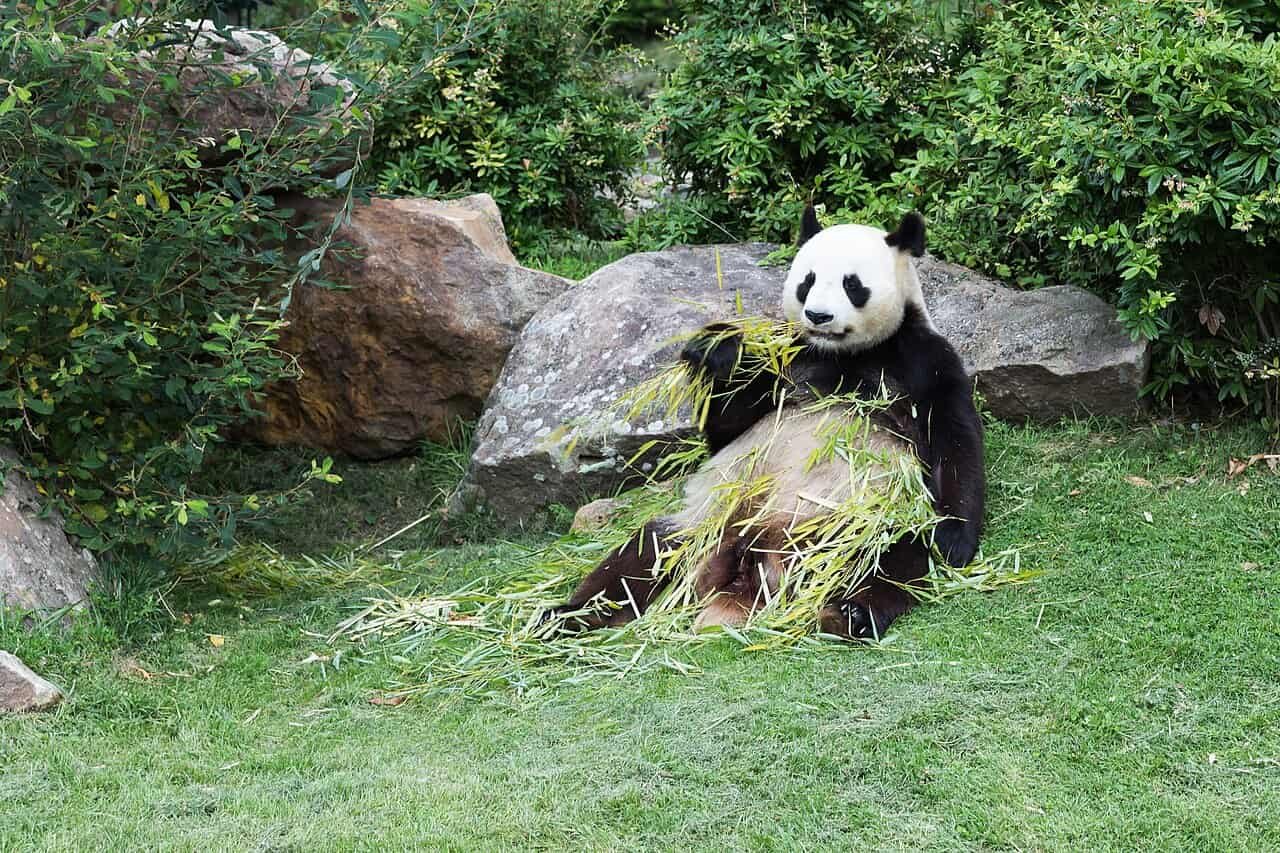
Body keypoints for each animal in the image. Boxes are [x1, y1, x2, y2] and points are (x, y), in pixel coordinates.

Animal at [543, 208, 985, 640]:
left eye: (852, 284)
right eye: (807, 281)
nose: (818, 316)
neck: (842, 354)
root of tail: (753, 564)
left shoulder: (923, 361)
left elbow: (954, 443)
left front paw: (953, 540)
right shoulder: (786, 357)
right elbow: (728, 428)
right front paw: (717, 349)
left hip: (860, 524)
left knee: (892, 558)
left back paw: (849, 613)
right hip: (706, 522)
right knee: (645, 551)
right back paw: (566, 616)